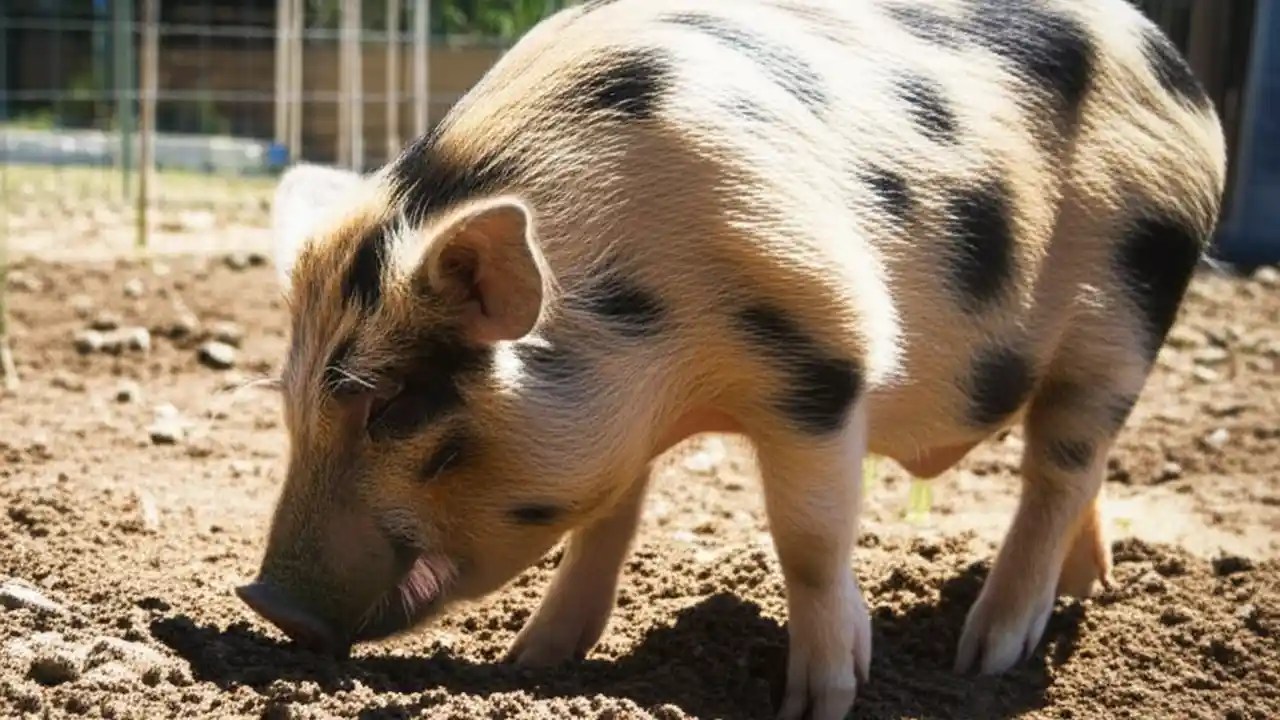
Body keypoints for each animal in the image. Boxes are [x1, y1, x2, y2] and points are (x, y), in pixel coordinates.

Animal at [236, 0, 1226, 718]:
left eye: (391, 402)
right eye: (292, 403)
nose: (267, 601)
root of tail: (1185, 75)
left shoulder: (824, 352)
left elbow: (810, 537)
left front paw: (823, 700)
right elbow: (607, 522)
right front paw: (532, 662)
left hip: (1127, 317)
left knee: (1062, 464)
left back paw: (986, 659)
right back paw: (1089, 586)